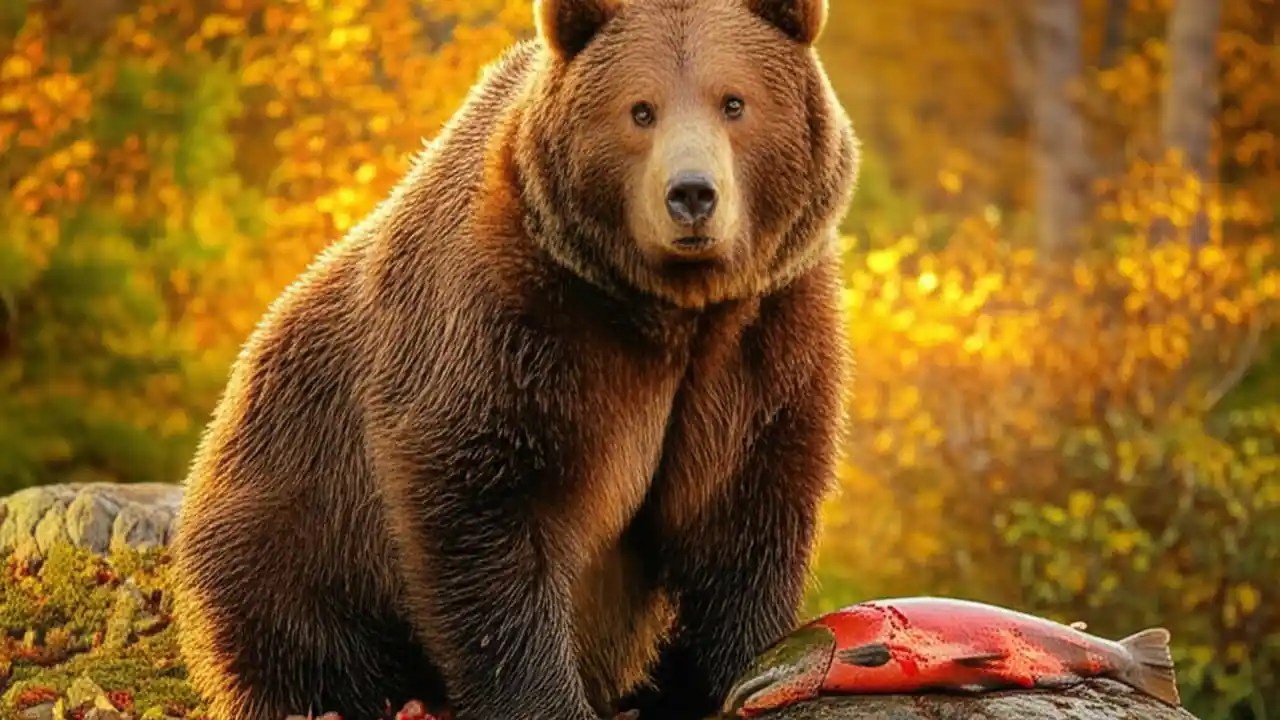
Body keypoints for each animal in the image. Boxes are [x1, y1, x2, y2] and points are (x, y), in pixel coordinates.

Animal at [169, 0, 859, 718]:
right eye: (640, 109)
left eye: (734, 101)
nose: (692, 194)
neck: (670, 309)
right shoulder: (514, 324)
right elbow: (487, 510)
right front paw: (547, 698)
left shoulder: (766, 335)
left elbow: (746, 508)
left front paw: (744, 670)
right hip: (294, 518)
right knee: (295, 631)